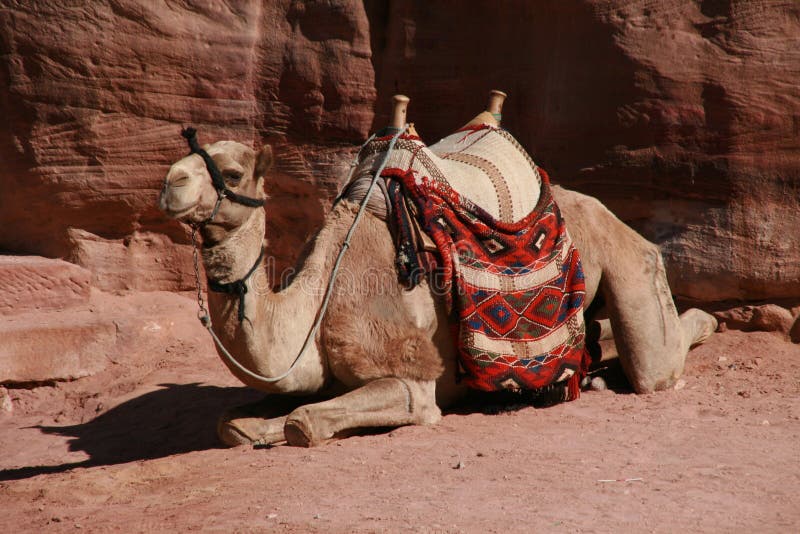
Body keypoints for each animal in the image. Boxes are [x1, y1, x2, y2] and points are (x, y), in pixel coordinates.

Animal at [158, 93, 717, 447]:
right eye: (186, 160)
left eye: (231, 174)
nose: (170, 184)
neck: (319, 302)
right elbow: (235, 425)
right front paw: (259, 429)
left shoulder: (413, 383)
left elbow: (304, 423)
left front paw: (284, 429)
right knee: (595, 338)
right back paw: (593, 367)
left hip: (627, 254)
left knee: (654, 365)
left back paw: (703, 324)